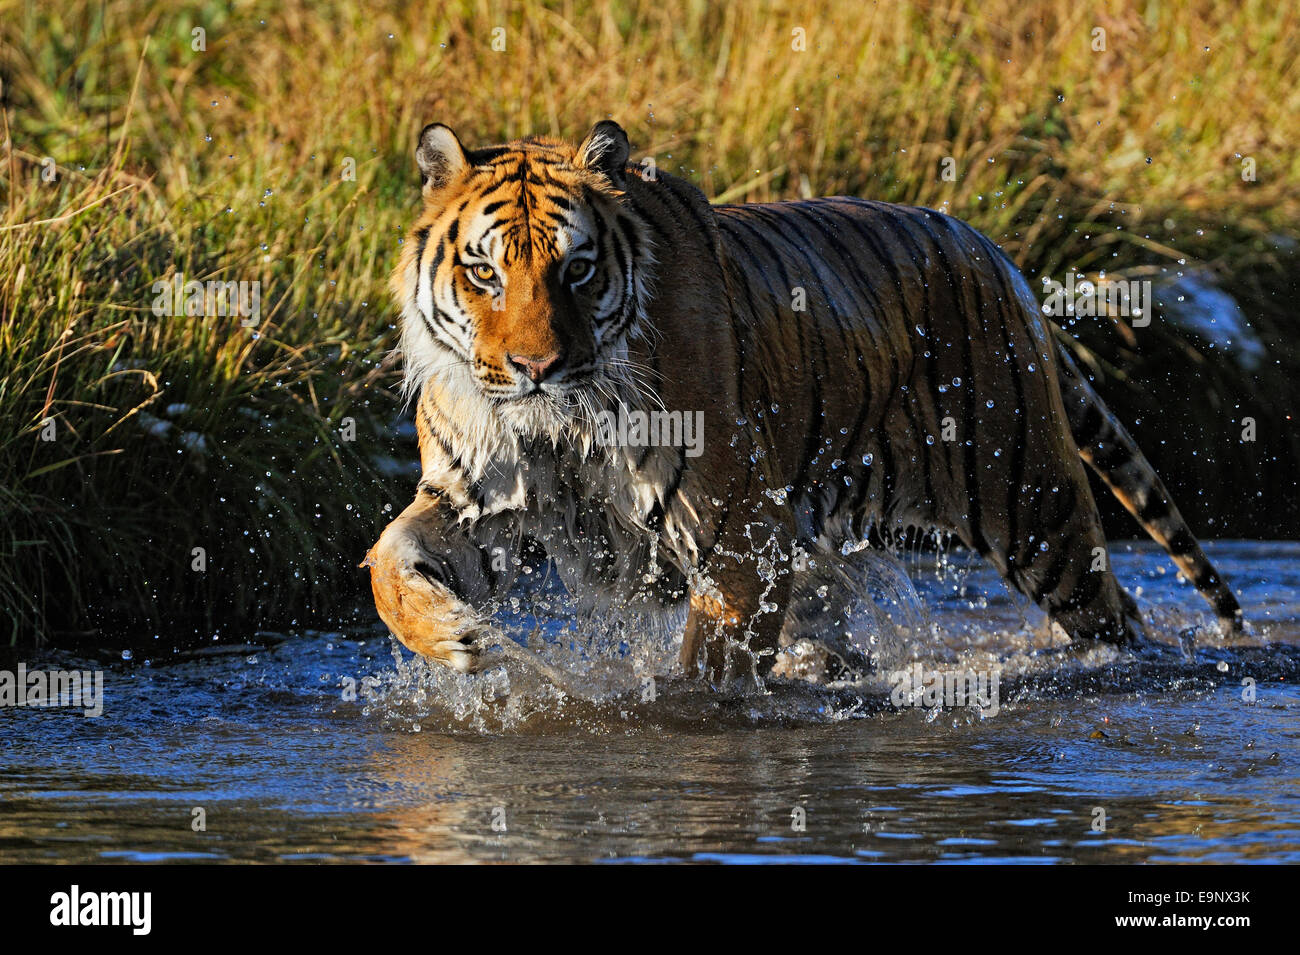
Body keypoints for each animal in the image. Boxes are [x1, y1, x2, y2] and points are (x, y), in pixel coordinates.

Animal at [364, 119, 1245, 683]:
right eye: (484, 272)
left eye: (576, 269)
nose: (536, 366)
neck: (561, 423)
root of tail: (998, 253)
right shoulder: (476, 495)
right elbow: (389, 560)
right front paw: (457, 635)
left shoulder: (740, 525)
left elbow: (712, 665)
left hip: (1033, 503)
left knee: (1114, 612)